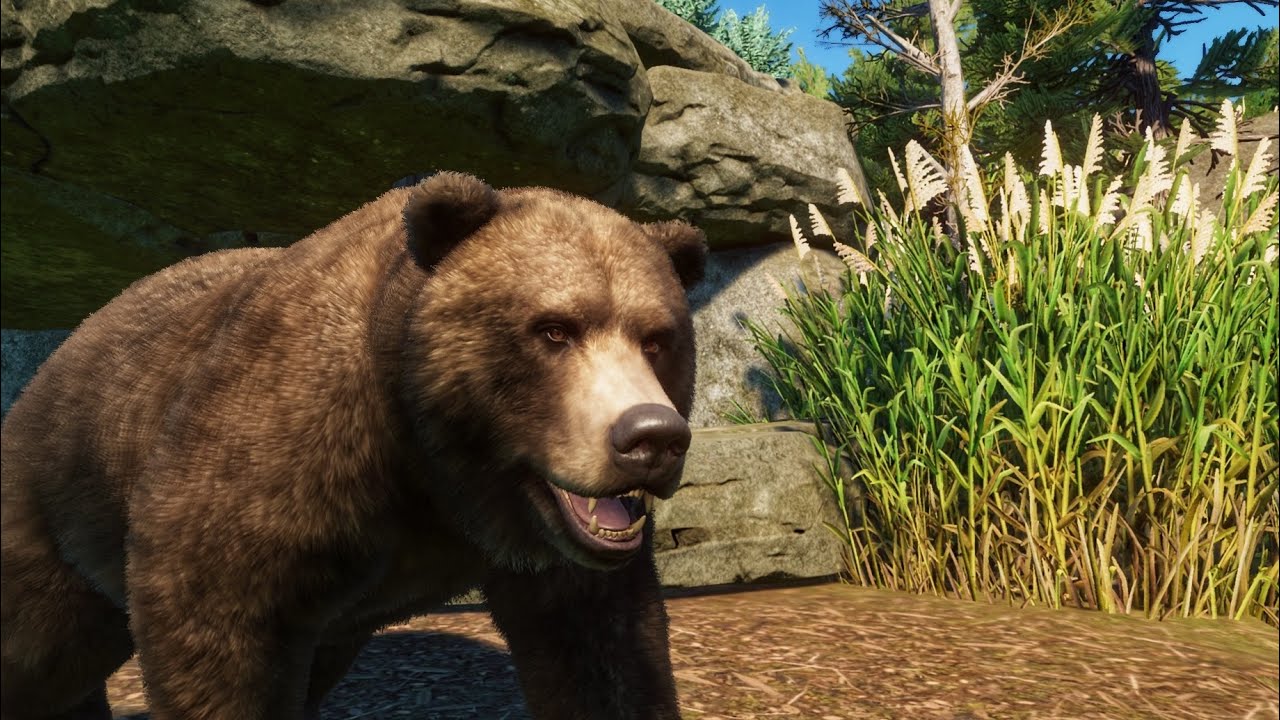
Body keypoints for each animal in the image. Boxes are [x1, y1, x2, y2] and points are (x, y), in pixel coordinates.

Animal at [0, 172, 707, 720]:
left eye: (657, 337)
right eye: (555, 329)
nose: (651, 436)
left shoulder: (553, 556)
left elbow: (603, 653)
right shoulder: (283, 449)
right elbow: (217, 616)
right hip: (56, 496)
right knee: (36, 645)